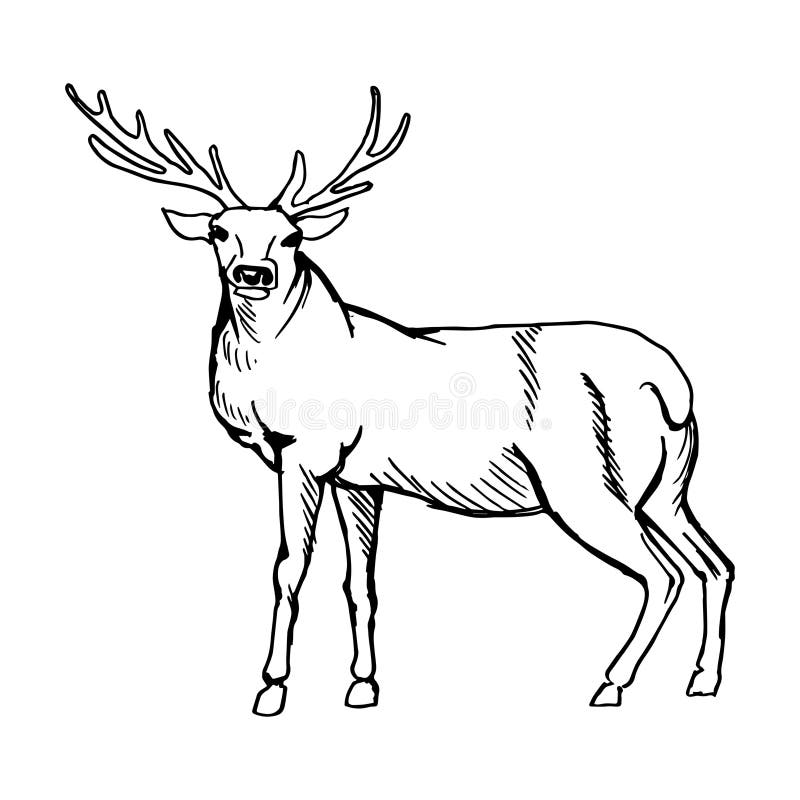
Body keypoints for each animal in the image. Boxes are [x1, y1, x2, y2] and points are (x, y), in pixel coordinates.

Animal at [65, 83, 734, 714]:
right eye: (218, 231)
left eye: (291, 238)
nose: (253, 273)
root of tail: (672, 386)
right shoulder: (359, 478)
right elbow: (359, 581)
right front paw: (363, 684)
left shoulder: (306, 451)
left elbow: (289, 567)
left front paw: (272, 686)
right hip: (666, 487)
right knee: (711, 562)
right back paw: (702, 679)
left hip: (586, 478)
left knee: (660, 573)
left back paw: (611, 682)